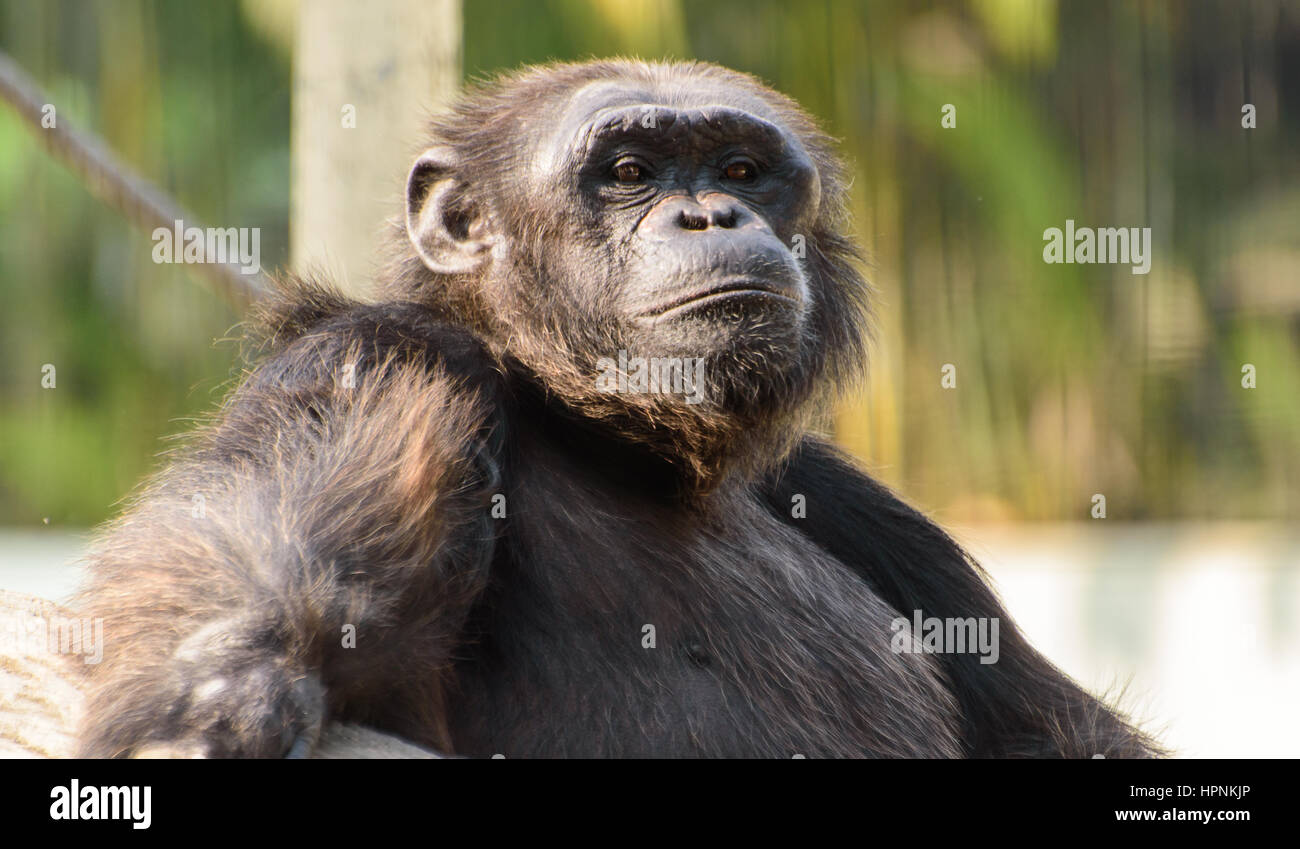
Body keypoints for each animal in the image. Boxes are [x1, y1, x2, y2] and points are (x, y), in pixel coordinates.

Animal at [73, 59, 1159, 758]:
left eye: (740, 169)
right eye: (629, 172)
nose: (712, 214)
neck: (599, 426)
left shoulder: (871, 512)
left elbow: (1056, 731)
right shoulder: (377, 359)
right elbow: (270, 533)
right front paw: (221, 690)